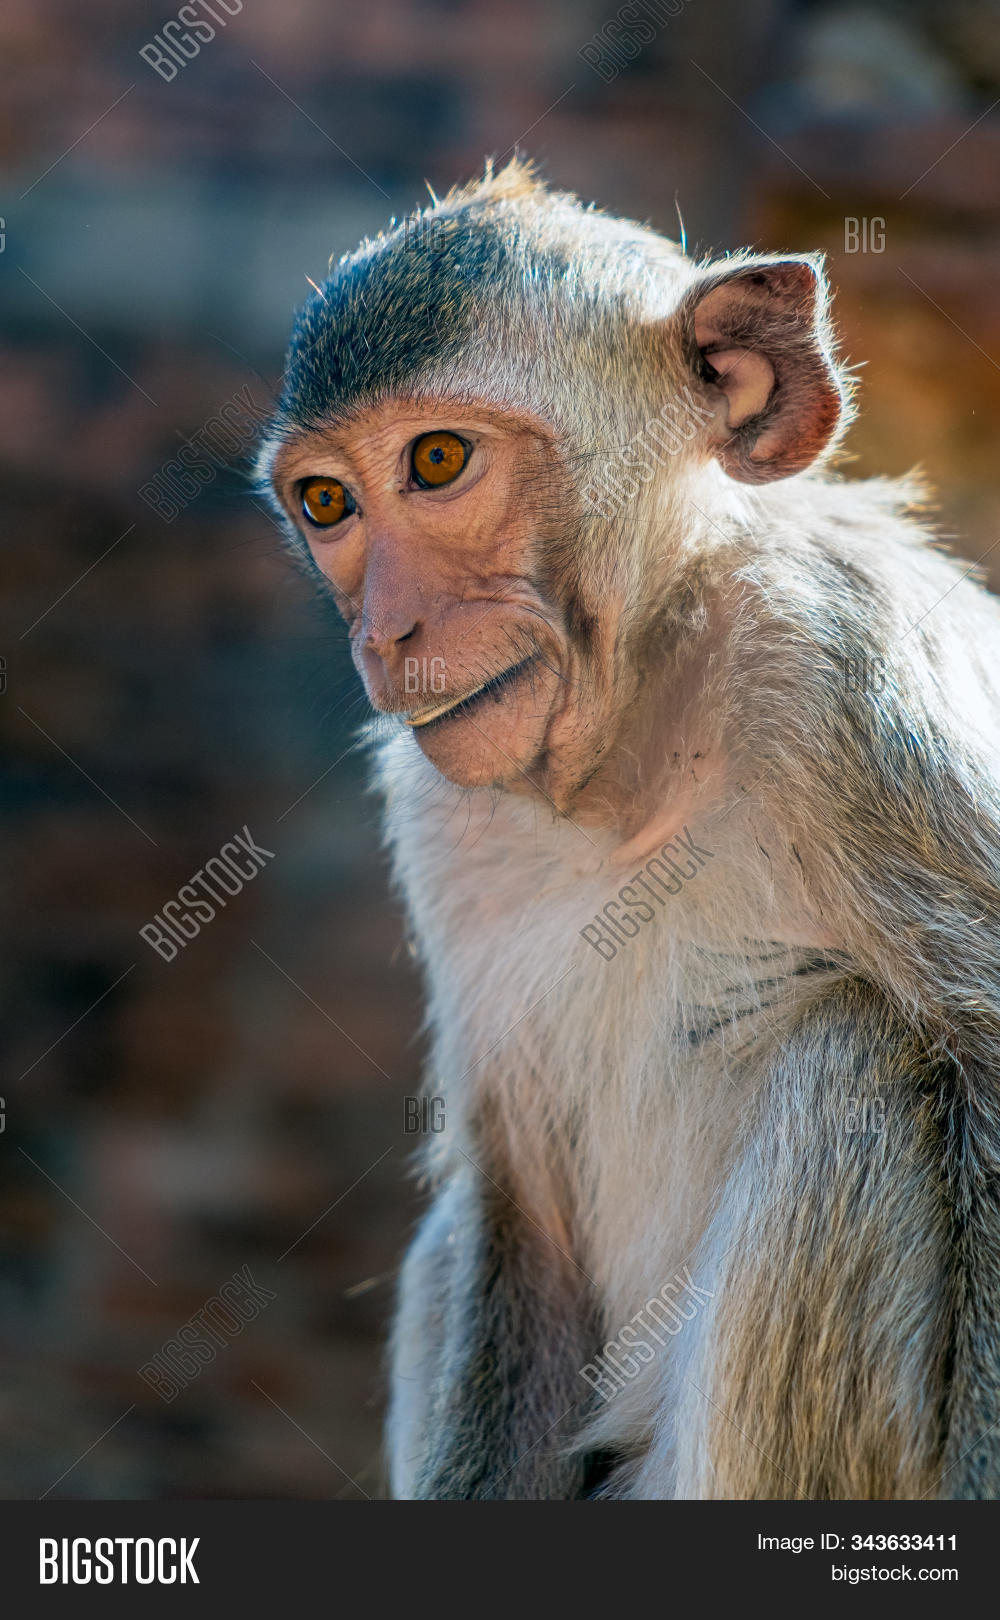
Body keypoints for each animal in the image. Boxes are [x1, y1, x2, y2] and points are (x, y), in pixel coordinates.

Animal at [258, 157, 1000, 1500]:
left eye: (436, 460)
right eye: (326, 501)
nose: (385, 631)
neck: (635, 752)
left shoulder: (858, 685)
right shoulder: (439, 813)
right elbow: (521, 1213)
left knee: (850, 1054)